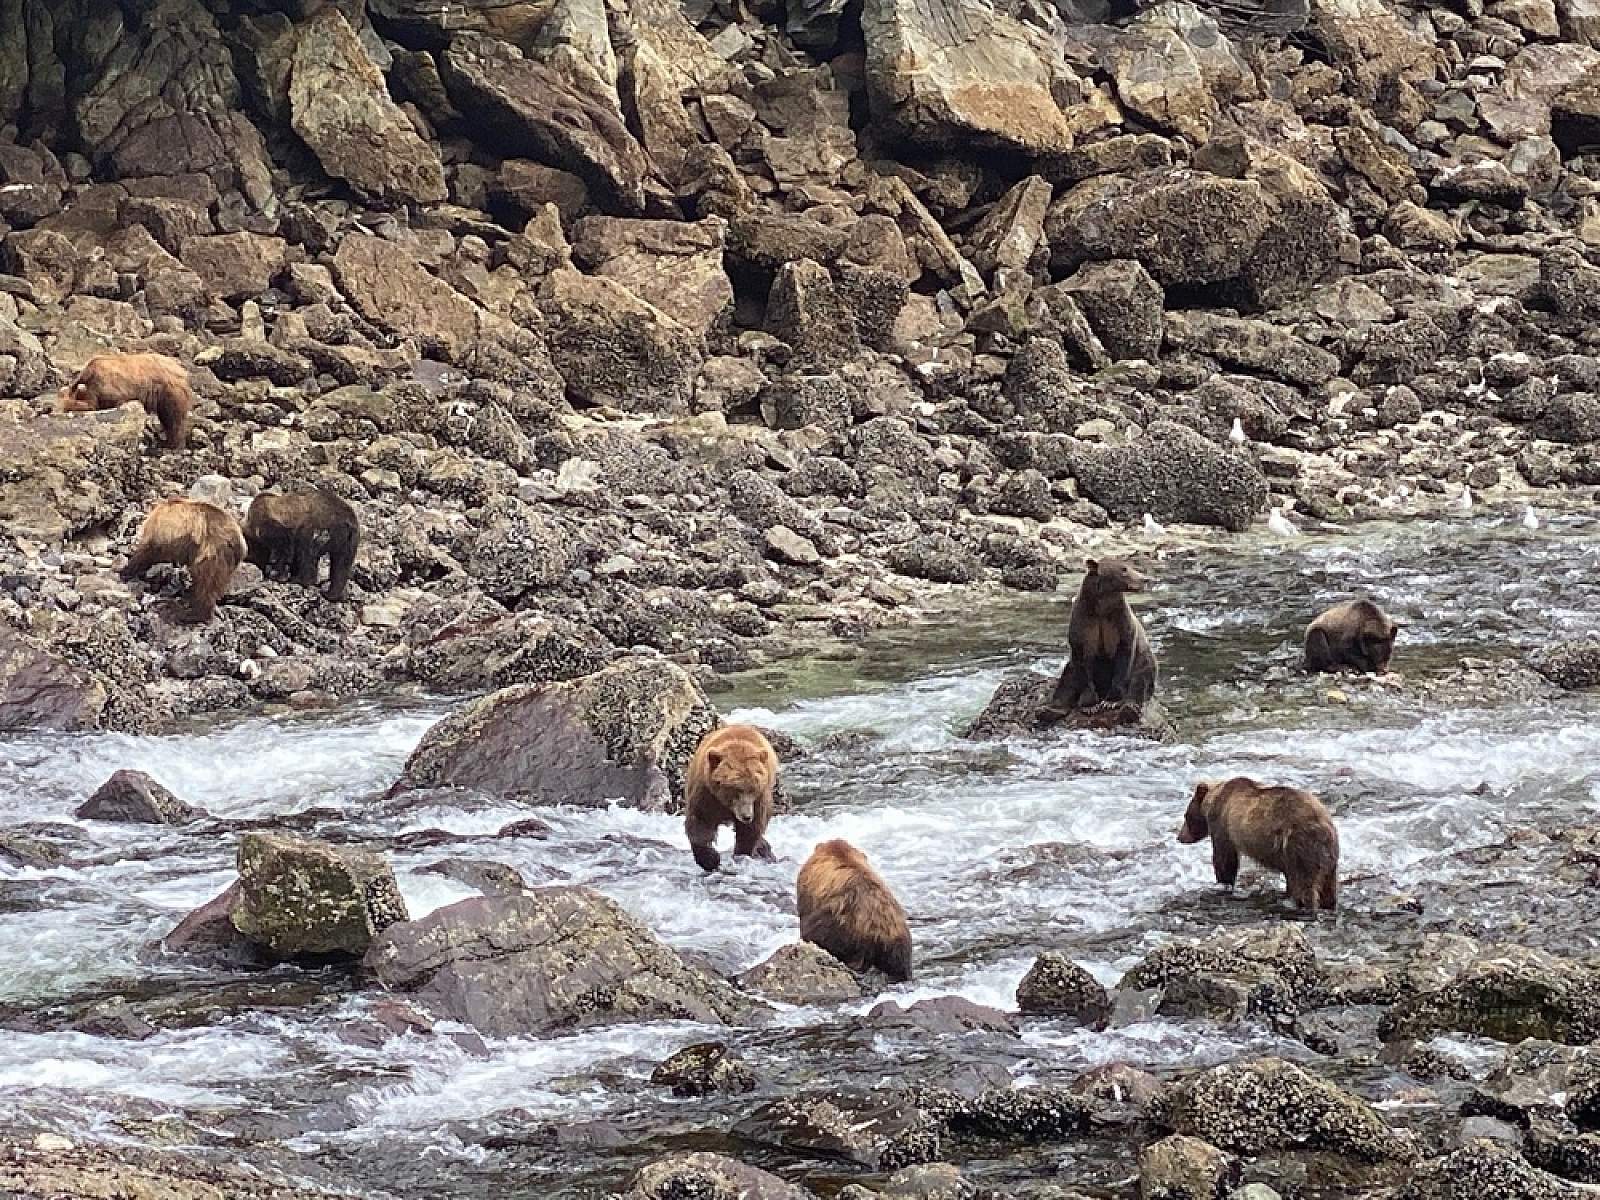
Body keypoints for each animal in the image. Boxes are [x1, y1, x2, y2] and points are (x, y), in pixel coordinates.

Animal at [684, 724, 778, 873]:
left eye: (754, 789)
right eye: (736, 789)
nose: (746, 816)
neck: (727, 805)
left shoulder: (759, 800)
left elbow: (750, 830)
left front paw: (741, 854)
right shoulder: (706, 794)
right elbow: (700, 823)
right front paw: (710, 859)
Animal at [1044, 558, 1157, 717]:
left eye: (1127, 567)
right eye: (1124, 569)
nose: (1145, 579)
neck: (1102, 606)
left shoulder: (1120, 623)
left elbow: (1124, 657)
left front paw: (1111, 701)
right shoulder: (1084, 623)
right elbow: (1082, 664)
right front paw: (1089, 704)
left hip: (1144, 662)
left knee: (1139, 682)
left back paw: (1129, 708)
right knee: (1066, 680)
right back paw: (1050, 709)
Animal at [1177, 777, 1339, 914]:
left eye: (1186, 815)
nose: (1179, 837)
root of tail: (1323, 823)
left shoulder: (1222, 824)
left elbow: (1224, 857)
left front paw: (1222, 883)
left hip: (1298, 844)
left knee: (1305, 880)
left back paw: (1302, 905)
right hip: (1328, 854)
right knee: (1327, 883)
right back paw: (1326, 903)